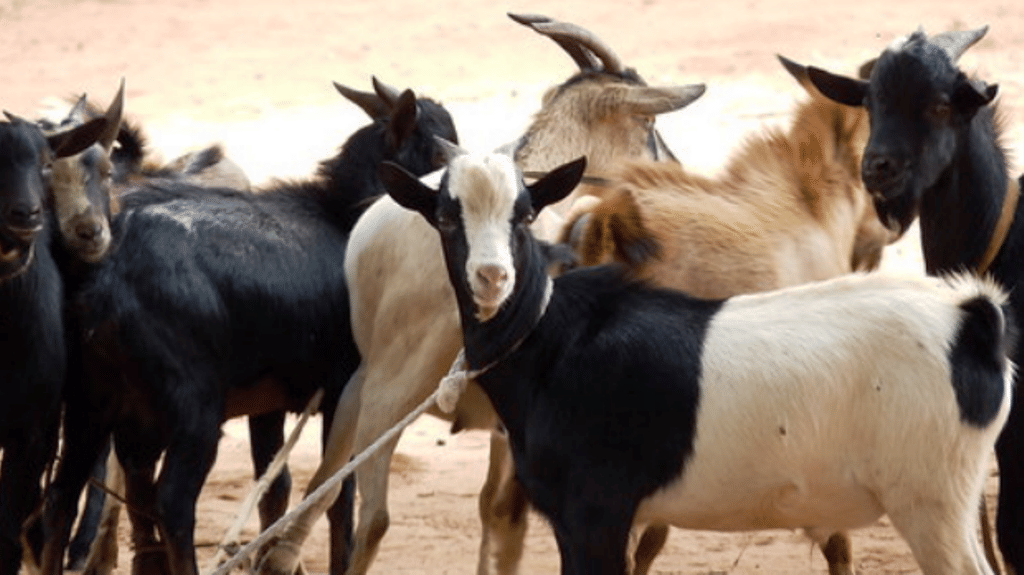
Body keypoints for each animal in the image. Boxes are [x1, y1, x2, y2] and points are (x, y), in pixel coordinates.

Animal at [30, 82, 458, 575]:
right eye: (439, 147)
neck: (342, 217)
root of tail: (105, 274)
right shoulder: (345, 388)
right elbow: (335, 493)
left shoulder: (267, 403)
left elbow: (276, 487)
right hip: (192, 409)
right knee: (172, 501)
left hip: (92, 398)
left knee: (64, 494)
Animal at [252, 14, 704, 575]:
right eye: (647, 124)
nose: (677, 173)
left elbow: (498, 513)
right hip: (393, 385)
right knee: (372, 517)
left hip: (363, 381)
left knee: (326, 488)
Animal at [381, 145, 1015, 575]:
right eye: (446, 217)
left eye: (525, 214)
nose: (492, 277)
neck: (555, 339)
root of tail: (969, 316)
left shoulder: (594, 514)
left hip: (931, 503)